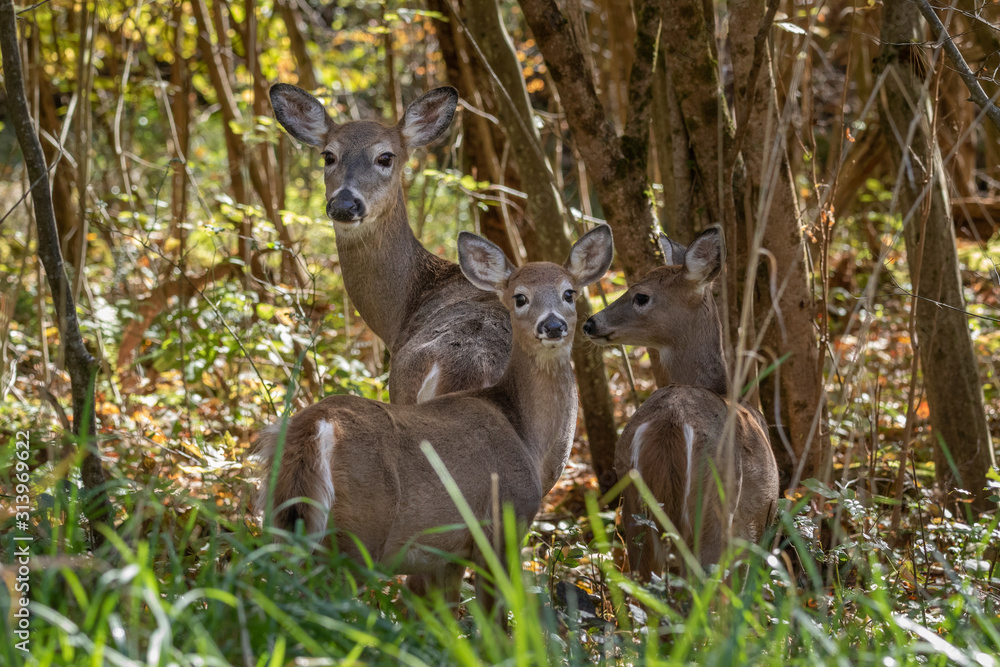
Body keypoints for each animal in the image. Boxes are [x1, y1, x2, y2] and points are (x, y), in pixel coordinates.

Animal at [253, 225, 614, 607]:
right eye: (520, 297)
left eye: (568, 293)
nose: (553, 325)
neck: (522, 429)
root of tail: (313, 427)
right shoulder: (503, 524)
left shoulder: (447, 555)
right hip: (358, 532)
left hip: (286, 517)